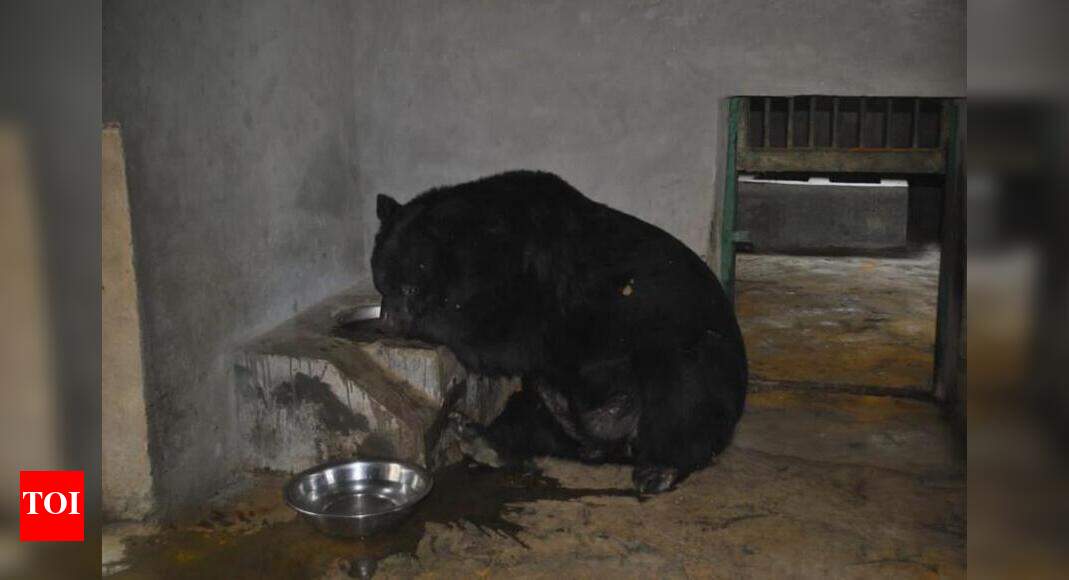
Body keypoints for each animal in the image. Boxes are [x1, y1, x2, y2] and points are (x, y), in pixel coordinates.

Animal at [371, 170, 747, 494]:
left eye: (409, 287)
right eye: (381, 281)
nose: (387, 323)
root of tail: (609, 437)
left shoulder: (540, 285)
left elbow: (498, 337)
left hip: (689, 352)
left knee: (683, 392)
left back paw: (661, 466)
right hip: (562, 400)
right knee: (531, 413)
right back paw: (480, 438)